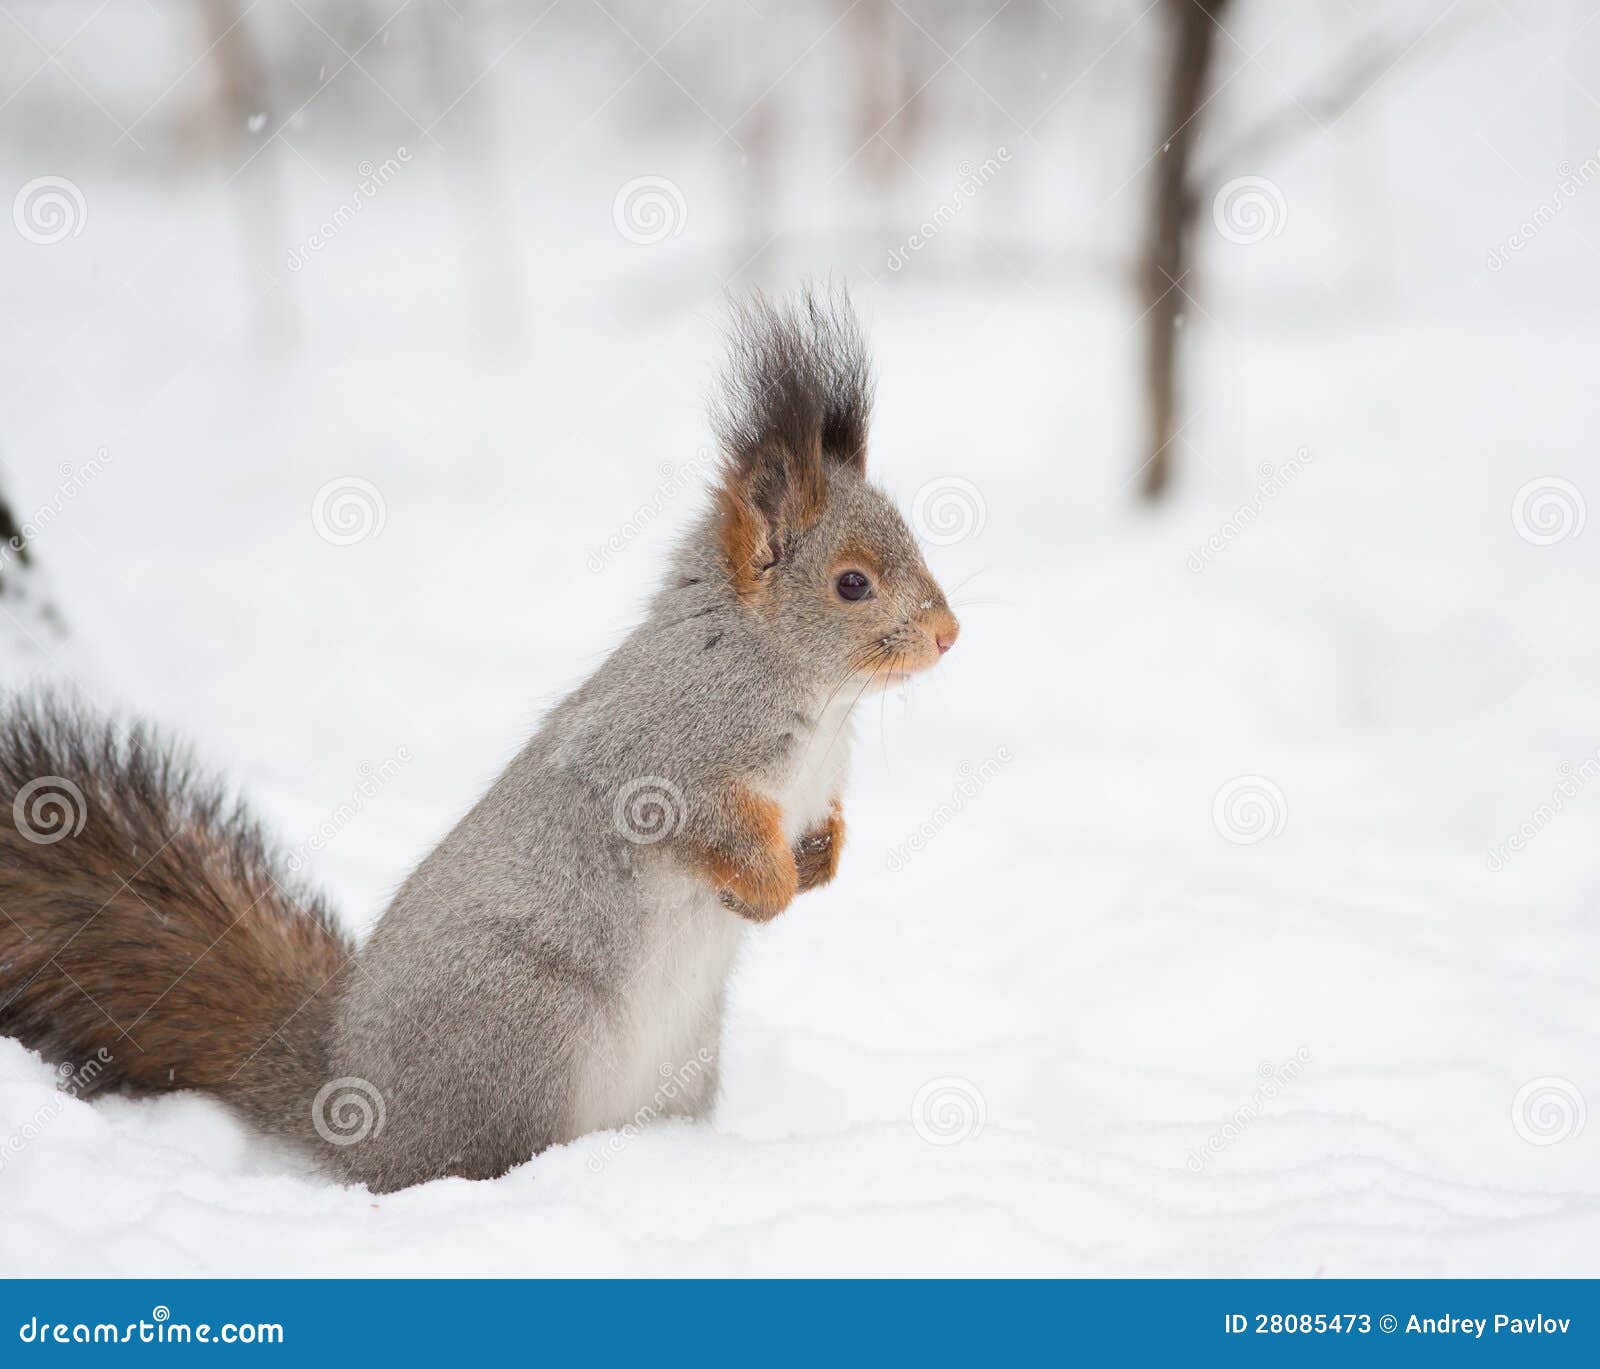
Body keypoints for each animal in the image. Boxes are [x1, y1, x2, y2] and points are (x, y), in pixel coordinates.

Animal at [0, 288, 960, 1193]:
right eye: (852, 584)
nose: (950, 635)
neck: (816, 696)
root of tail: (346, 1099)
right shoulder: (660, 753)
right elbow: (697, 821)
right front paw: (767, 888)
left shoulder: (816, 783)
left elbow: (825, 824)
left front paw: (821, 862)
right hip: (525, 1031)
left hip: (681, 1062)